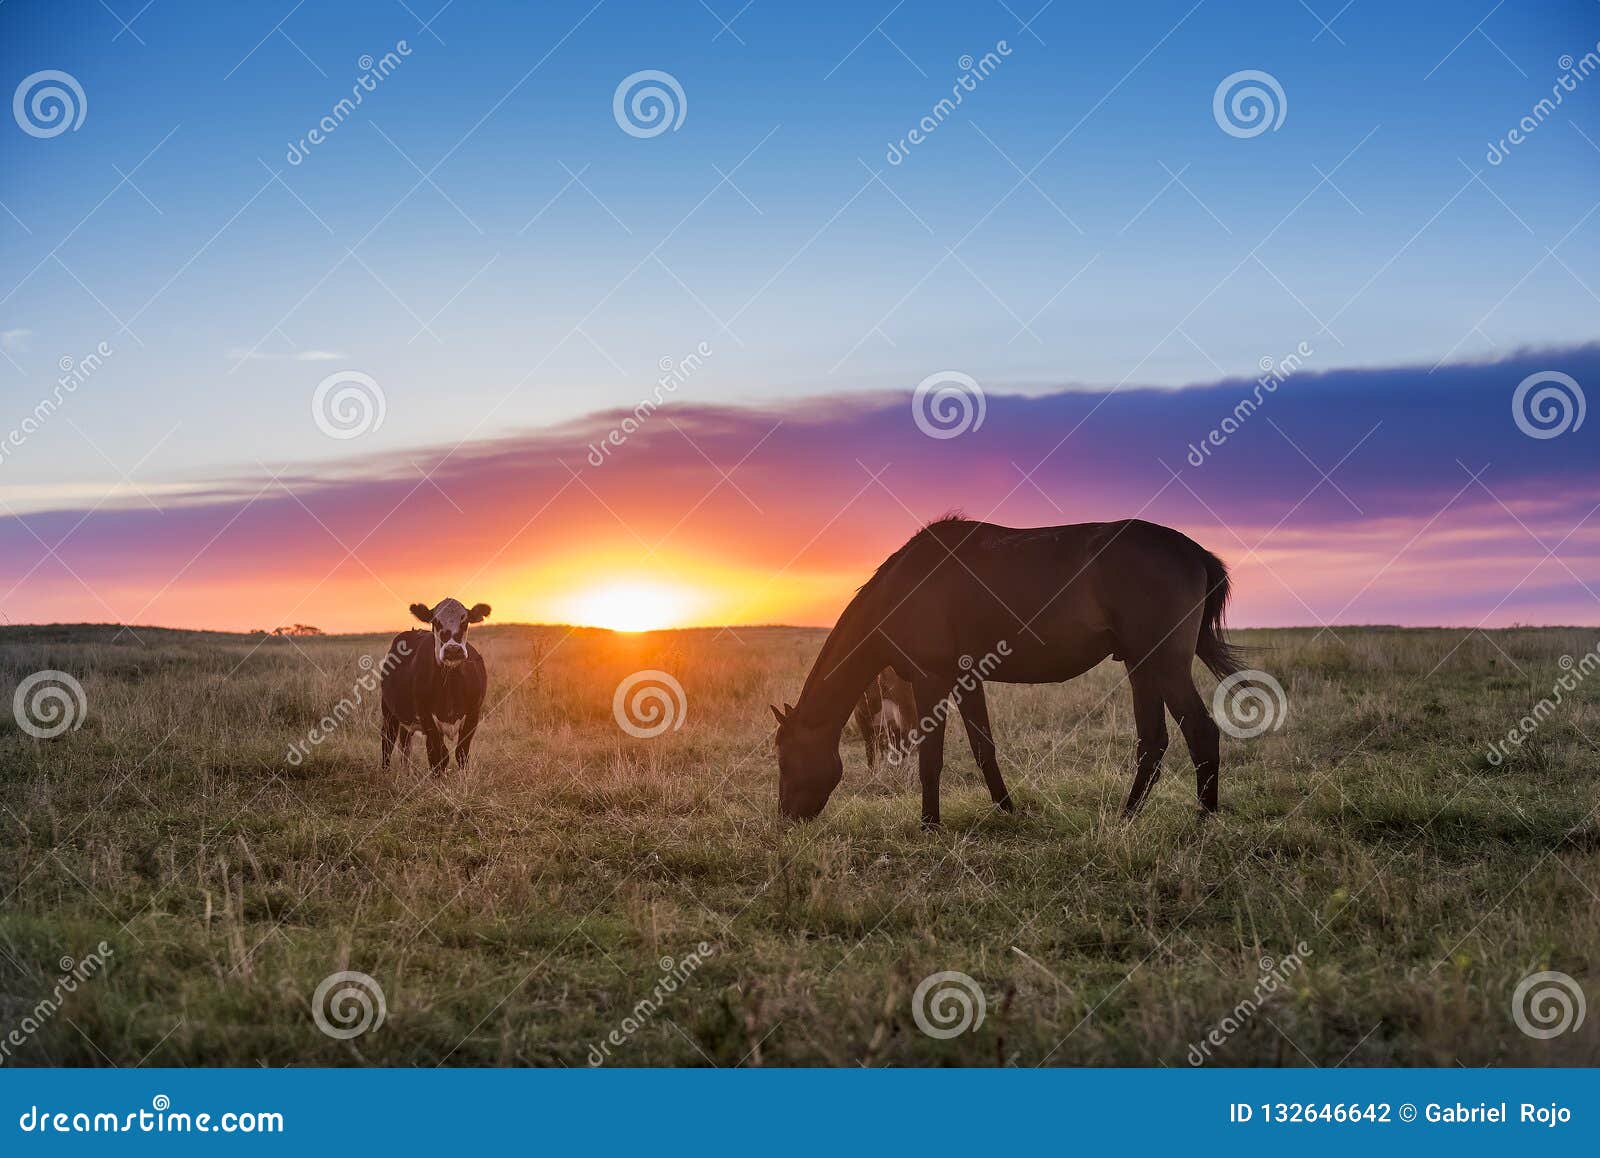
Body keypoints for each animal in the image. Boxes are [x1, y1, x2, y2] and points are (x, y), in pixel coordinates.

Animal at [380, 598, 491, 774]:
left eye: (465, 620)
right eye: (435, 621)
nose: (453, 650)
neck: (451, 683)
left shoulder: (473, 714)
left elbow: (461, 753)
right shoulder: (427, 717)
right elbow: (438, 756)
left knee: (405, 743)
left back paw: (406, 773)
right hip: (389, 711)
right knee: (387, 740)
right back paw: (386, 772)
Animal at [772, 517, 1243, 826]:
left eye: (784, 755)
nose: (788, 817)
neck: (901, 590)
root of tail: (1195, 552)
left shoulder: (930, 680)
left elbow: (930, 757)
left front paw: (929, 824)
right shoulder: (966, 681)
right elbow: (984, 749)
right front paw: (1007, 809)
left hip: (1164, 665)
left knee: (1199, 730)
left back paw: (1204, 818)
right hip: (1141, 665)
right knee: (1153, 741)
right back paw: (1127, 815)